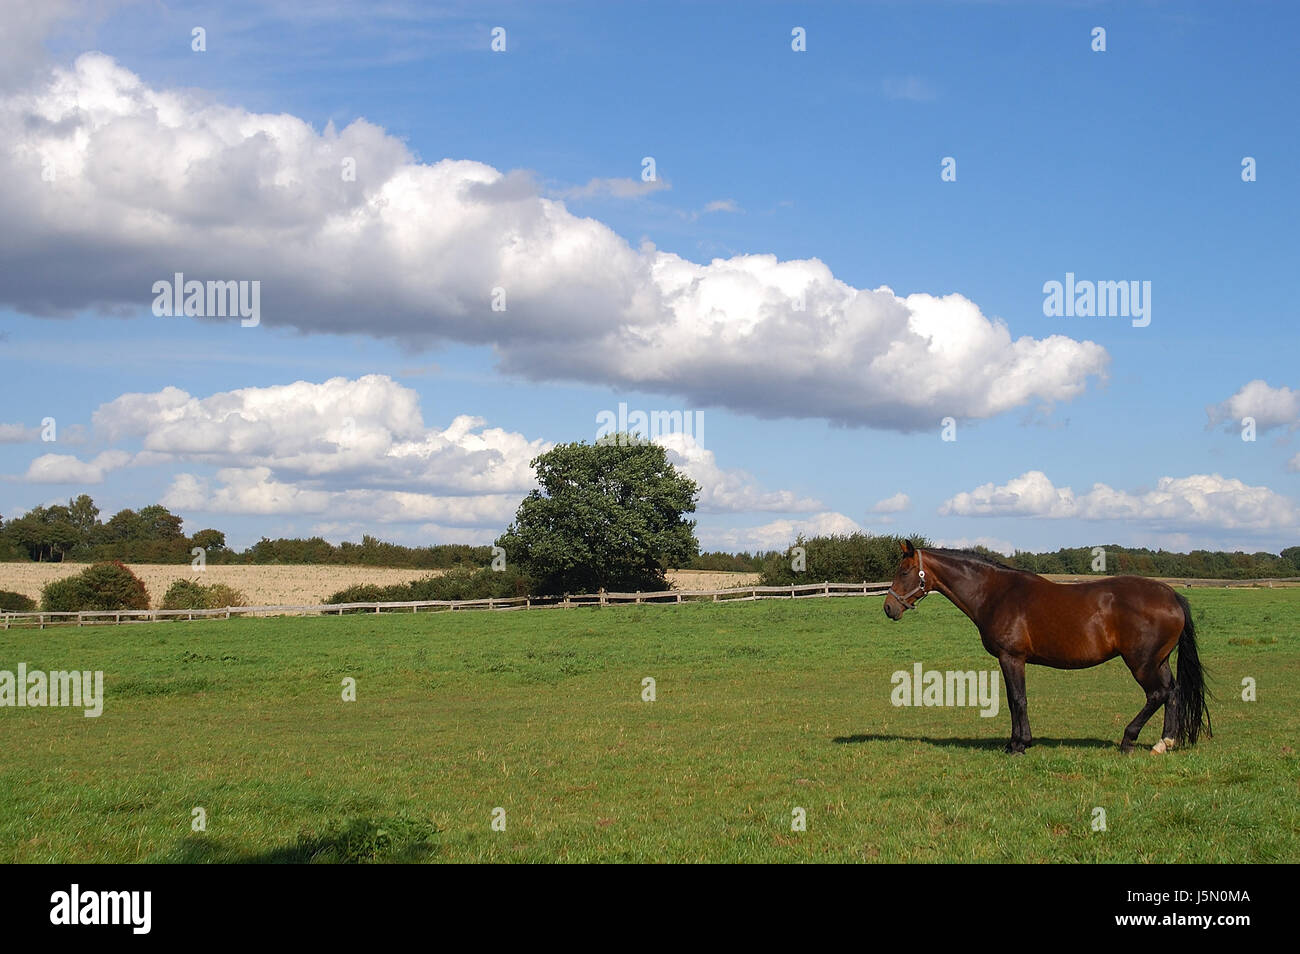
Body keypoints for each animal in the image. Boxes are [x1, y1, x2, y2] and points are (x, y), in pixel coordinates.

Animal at [882, 541, 1210, 754]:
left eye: (903, 572)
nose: (888, 608)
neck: (995, 593)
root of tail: (1171, 596)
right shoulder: (1011, 660)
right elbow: (1014, 700)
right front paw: (1015, 741)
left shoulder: (1012, 658)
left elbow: (1018, 699)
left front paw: (1019, 745)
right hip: (1159, 661)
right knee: (1173, 692)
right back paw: (1165, 742)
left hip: (1142, 663)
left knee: (1158, 694)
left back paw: (1129, 740)